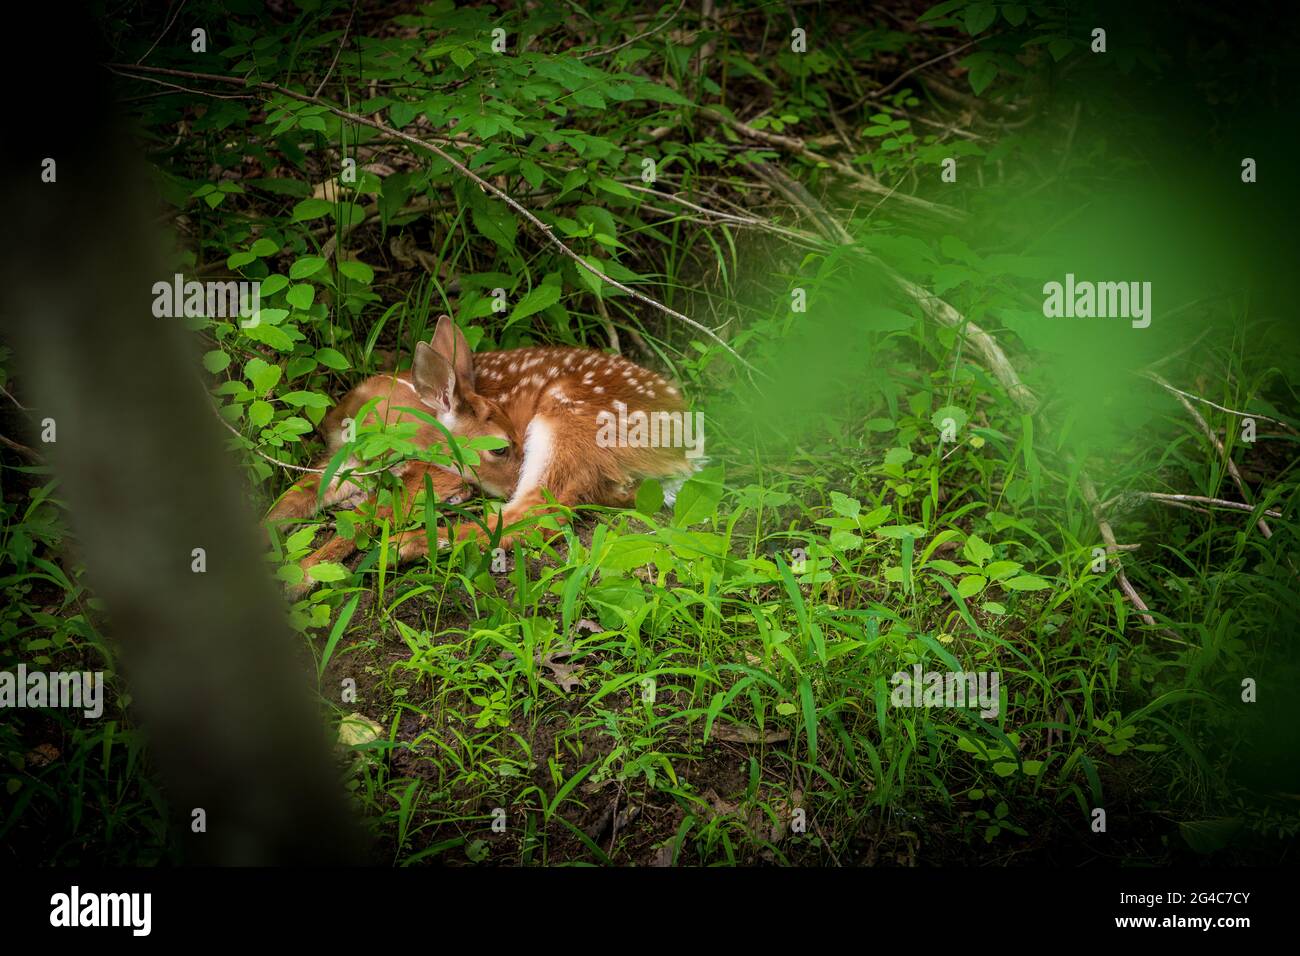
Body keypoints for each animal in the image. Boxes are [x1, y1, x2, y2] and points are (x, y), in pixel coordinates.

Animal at [266, 315, 702, 593]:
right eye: (500, 448)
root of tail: (686, 448)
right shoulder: (339, 462)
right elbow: (290, 502)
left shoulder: (433, 472)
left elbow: (366, 517)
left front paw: (300, 577)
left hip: (569, 416)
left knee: (539, 512)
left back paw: (408, 545)